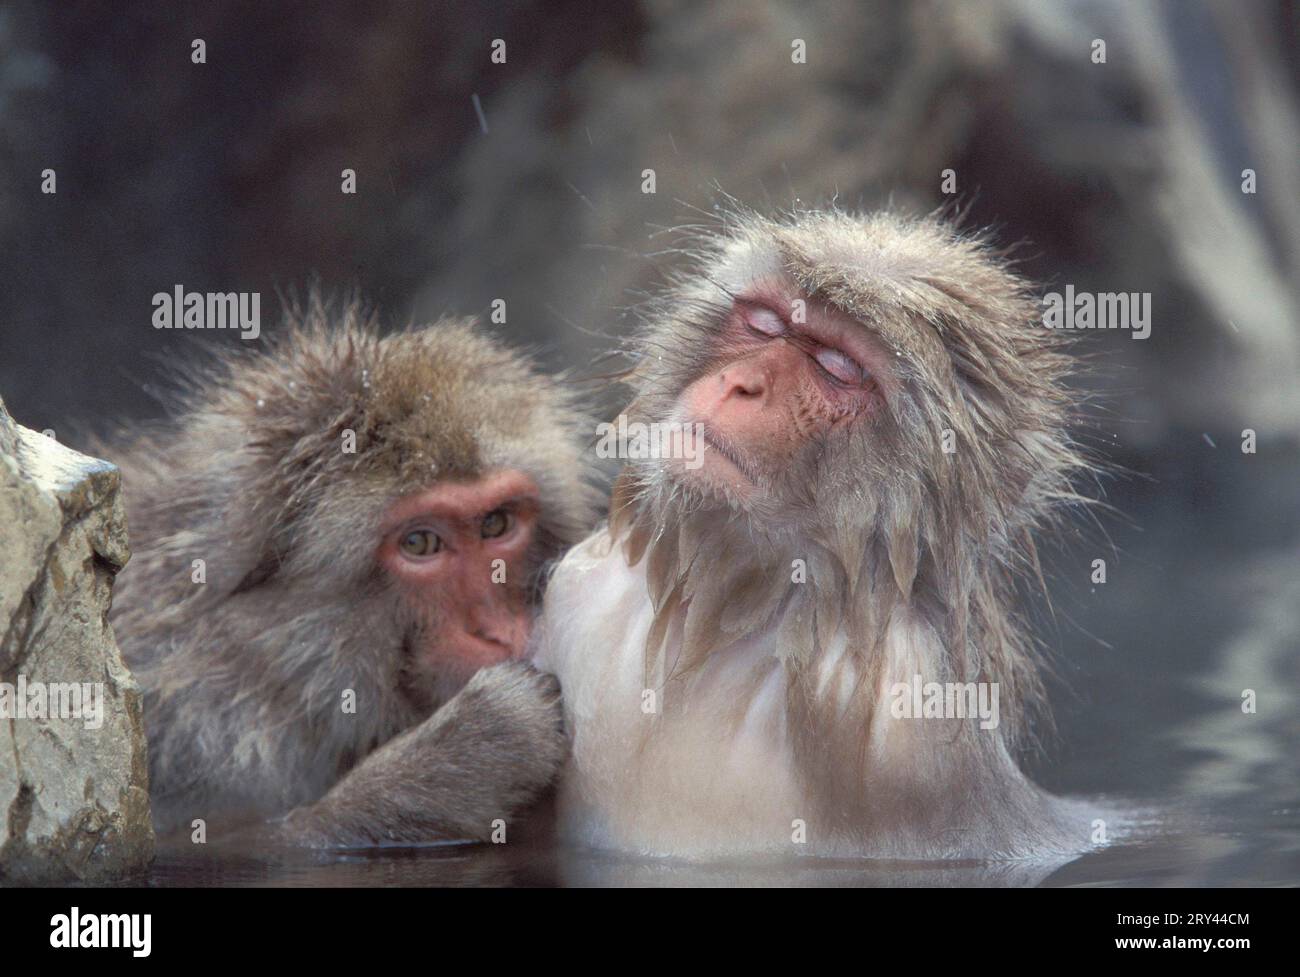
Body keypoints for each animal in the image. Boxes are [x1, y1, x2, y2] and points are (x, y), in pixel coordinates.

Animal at [532, 207, 1107, 861]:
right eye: (763, 323)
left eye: (837, 367)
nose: (741, 384)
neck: (737, 615)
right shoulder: (577, 584)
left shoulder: (907, 731)